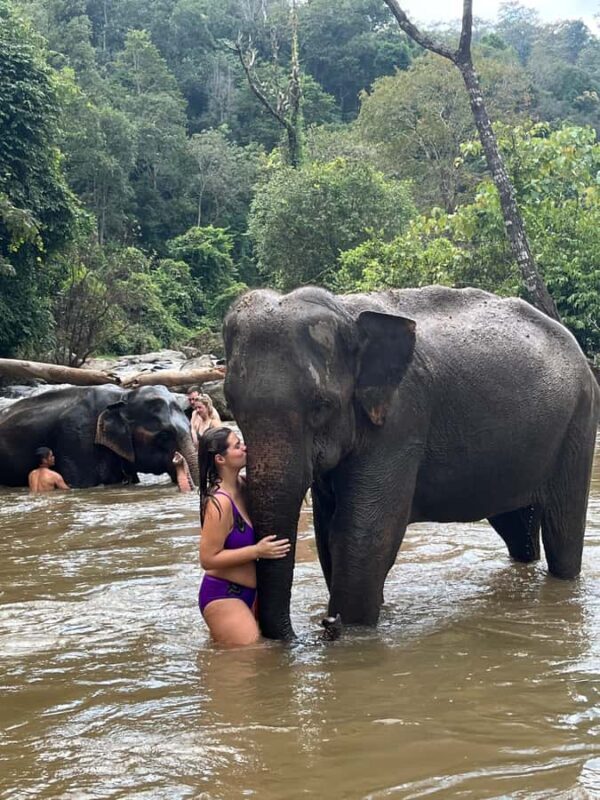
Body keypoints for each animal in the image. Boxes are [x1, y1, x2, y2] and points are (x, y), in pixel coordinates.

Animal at [223, 285, 600, 640]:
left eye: (321, 406)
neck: (346, 311)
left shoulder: (401, 421)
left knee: (562, 527)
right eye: (230, 402)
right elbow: (326, 532)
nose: (325, 625)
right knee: (516, 527)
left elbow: (363, 534)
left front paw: (352, 635)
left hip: (579, 420)